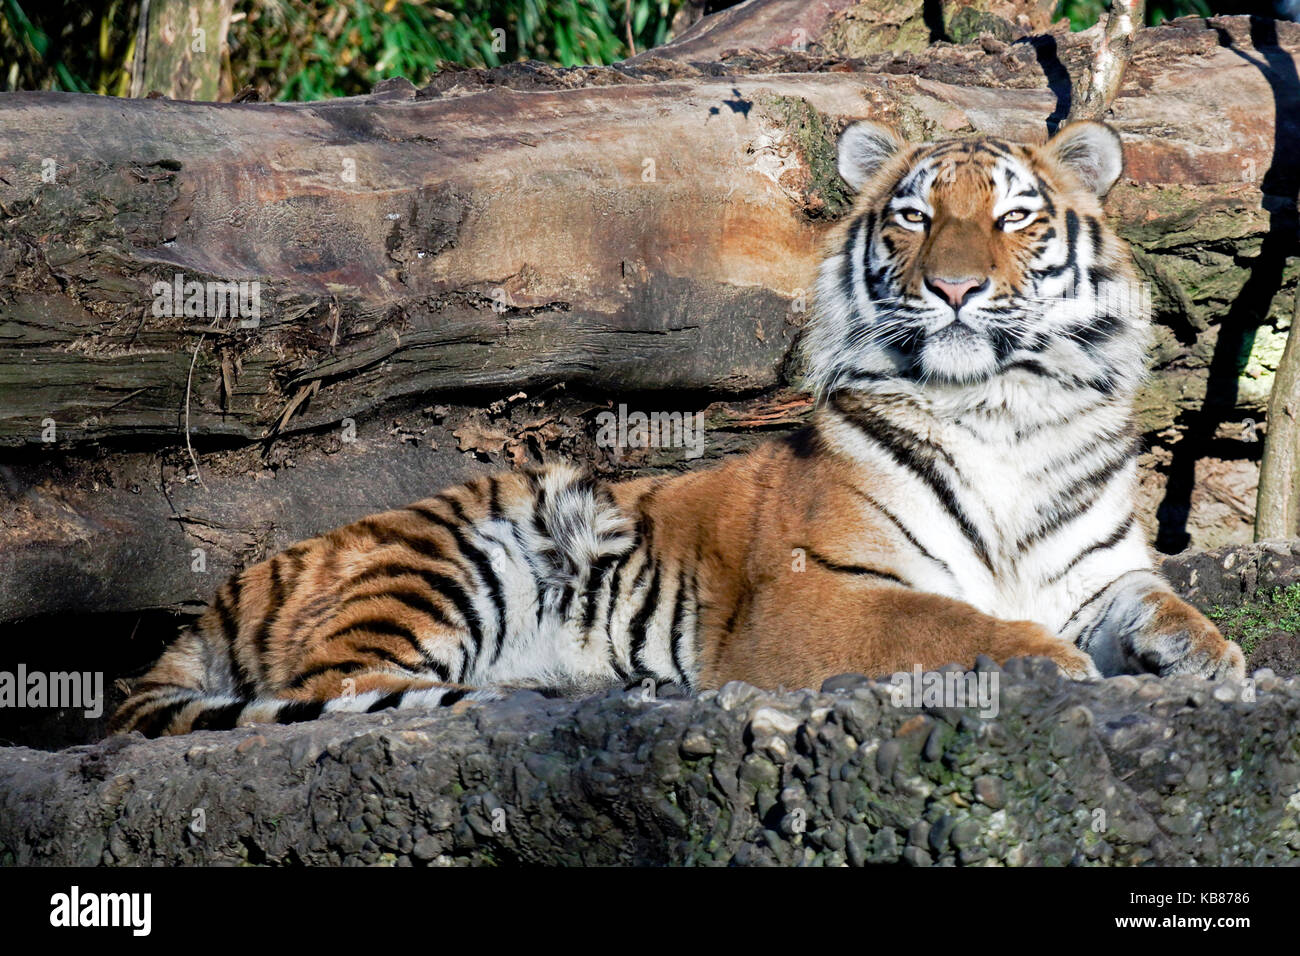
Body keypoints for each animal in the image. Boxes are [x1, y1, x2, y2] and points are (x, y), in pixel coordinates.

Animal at [111, 119, 1245, 738]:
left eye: (1014, 218)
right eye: (916, 217)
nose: (956, 289)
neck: (1004, 412)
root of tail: (223, 592)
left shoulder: (1097, 575)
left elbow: (1165, 606)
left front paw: (1212, 659)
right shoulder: (815, 597)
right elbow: (948, 621)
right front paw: (1045, 660)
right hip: (433, 564)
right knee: (349, 689)